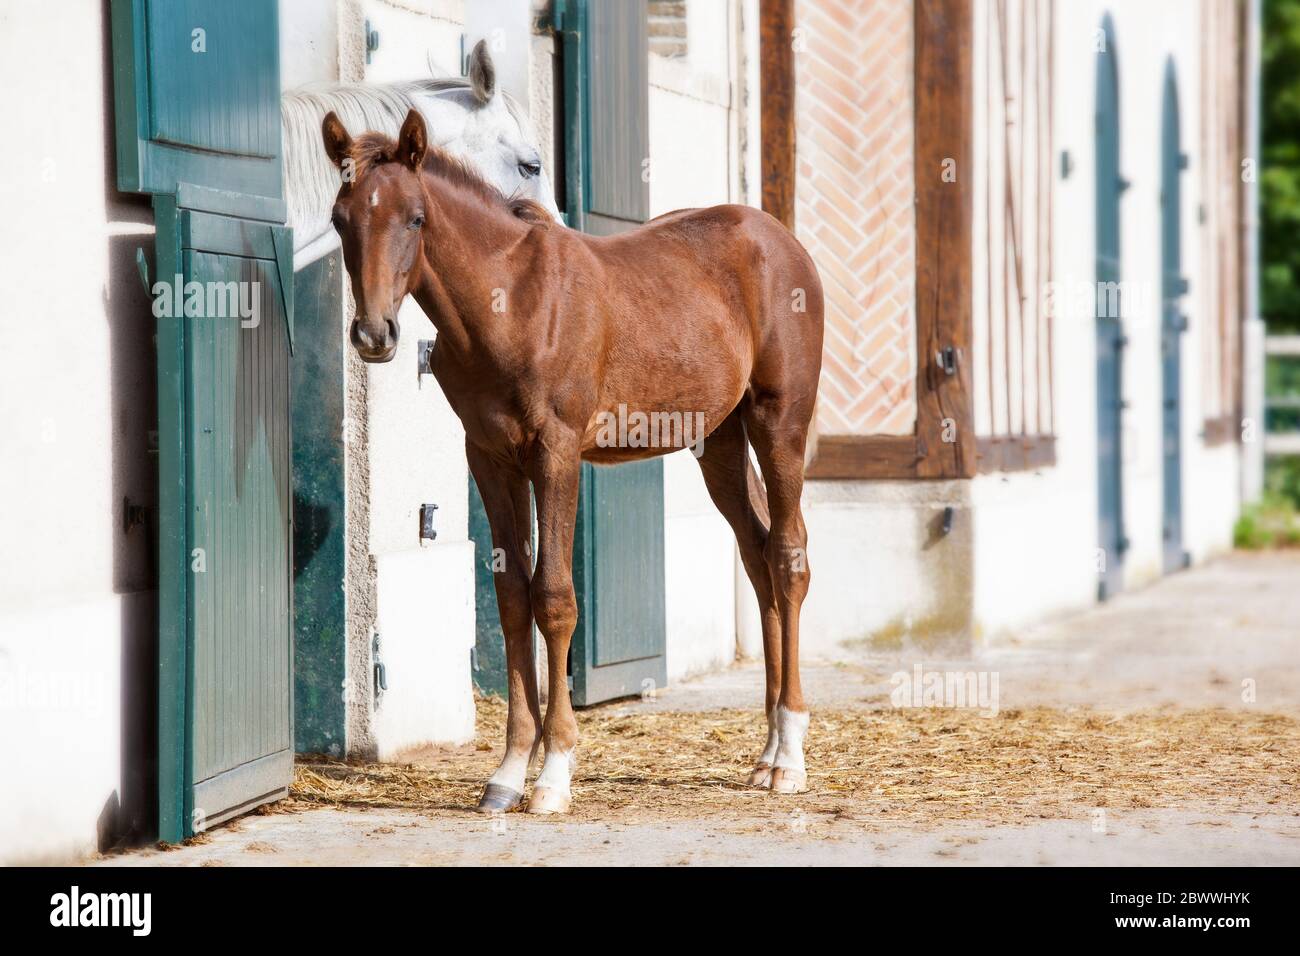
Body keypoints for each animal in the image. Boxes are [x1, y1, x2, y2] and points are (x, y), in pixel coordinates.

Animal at [320, 105, 825, 815]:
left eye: (415, 218)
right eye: (341, 219)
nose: (373, 335)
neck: (510, 304)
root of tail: (781, 239)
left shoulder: (556, 452)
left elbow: (554, 597)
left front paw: (554, 771)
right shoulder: (490, 458)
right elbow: (512, 597)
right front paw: (508, 772)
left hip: (780, 421)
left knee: (786, 556)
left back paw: (790, 755)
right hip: (720, 441)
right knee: (756, 558)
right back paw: (766, 750)